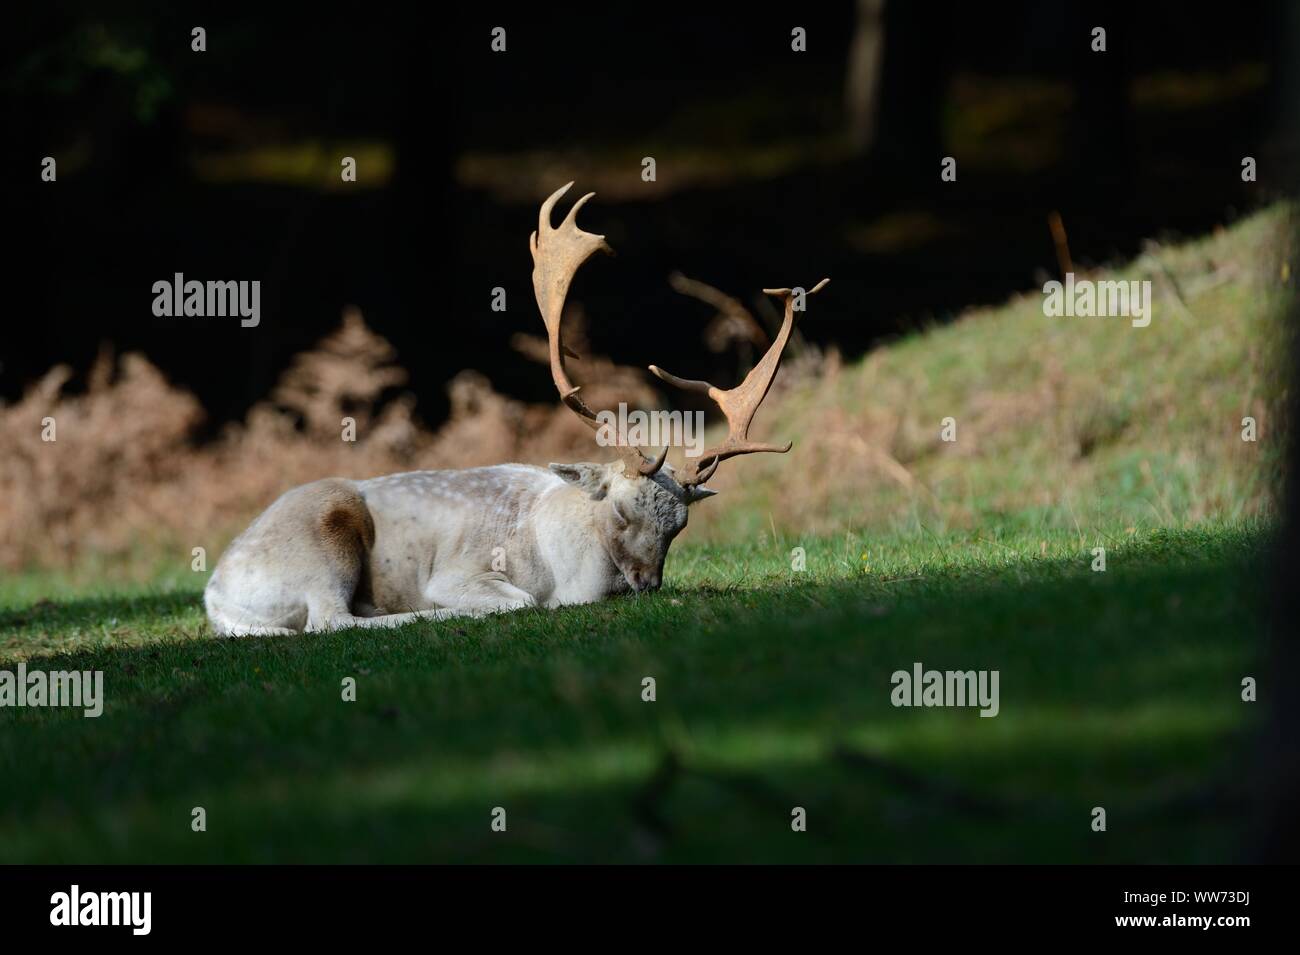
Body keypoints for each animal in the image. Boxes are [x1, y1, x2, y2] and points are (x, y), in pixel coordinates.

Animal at [204, 183, 828, 635]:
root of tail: (215, 593)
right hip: (320, 540)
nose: (647, 584)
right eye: (621, 511)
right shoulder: (463, 570)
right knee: (329, 619)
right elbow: (517, 602)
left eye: (681, 525)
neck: (558, 565)